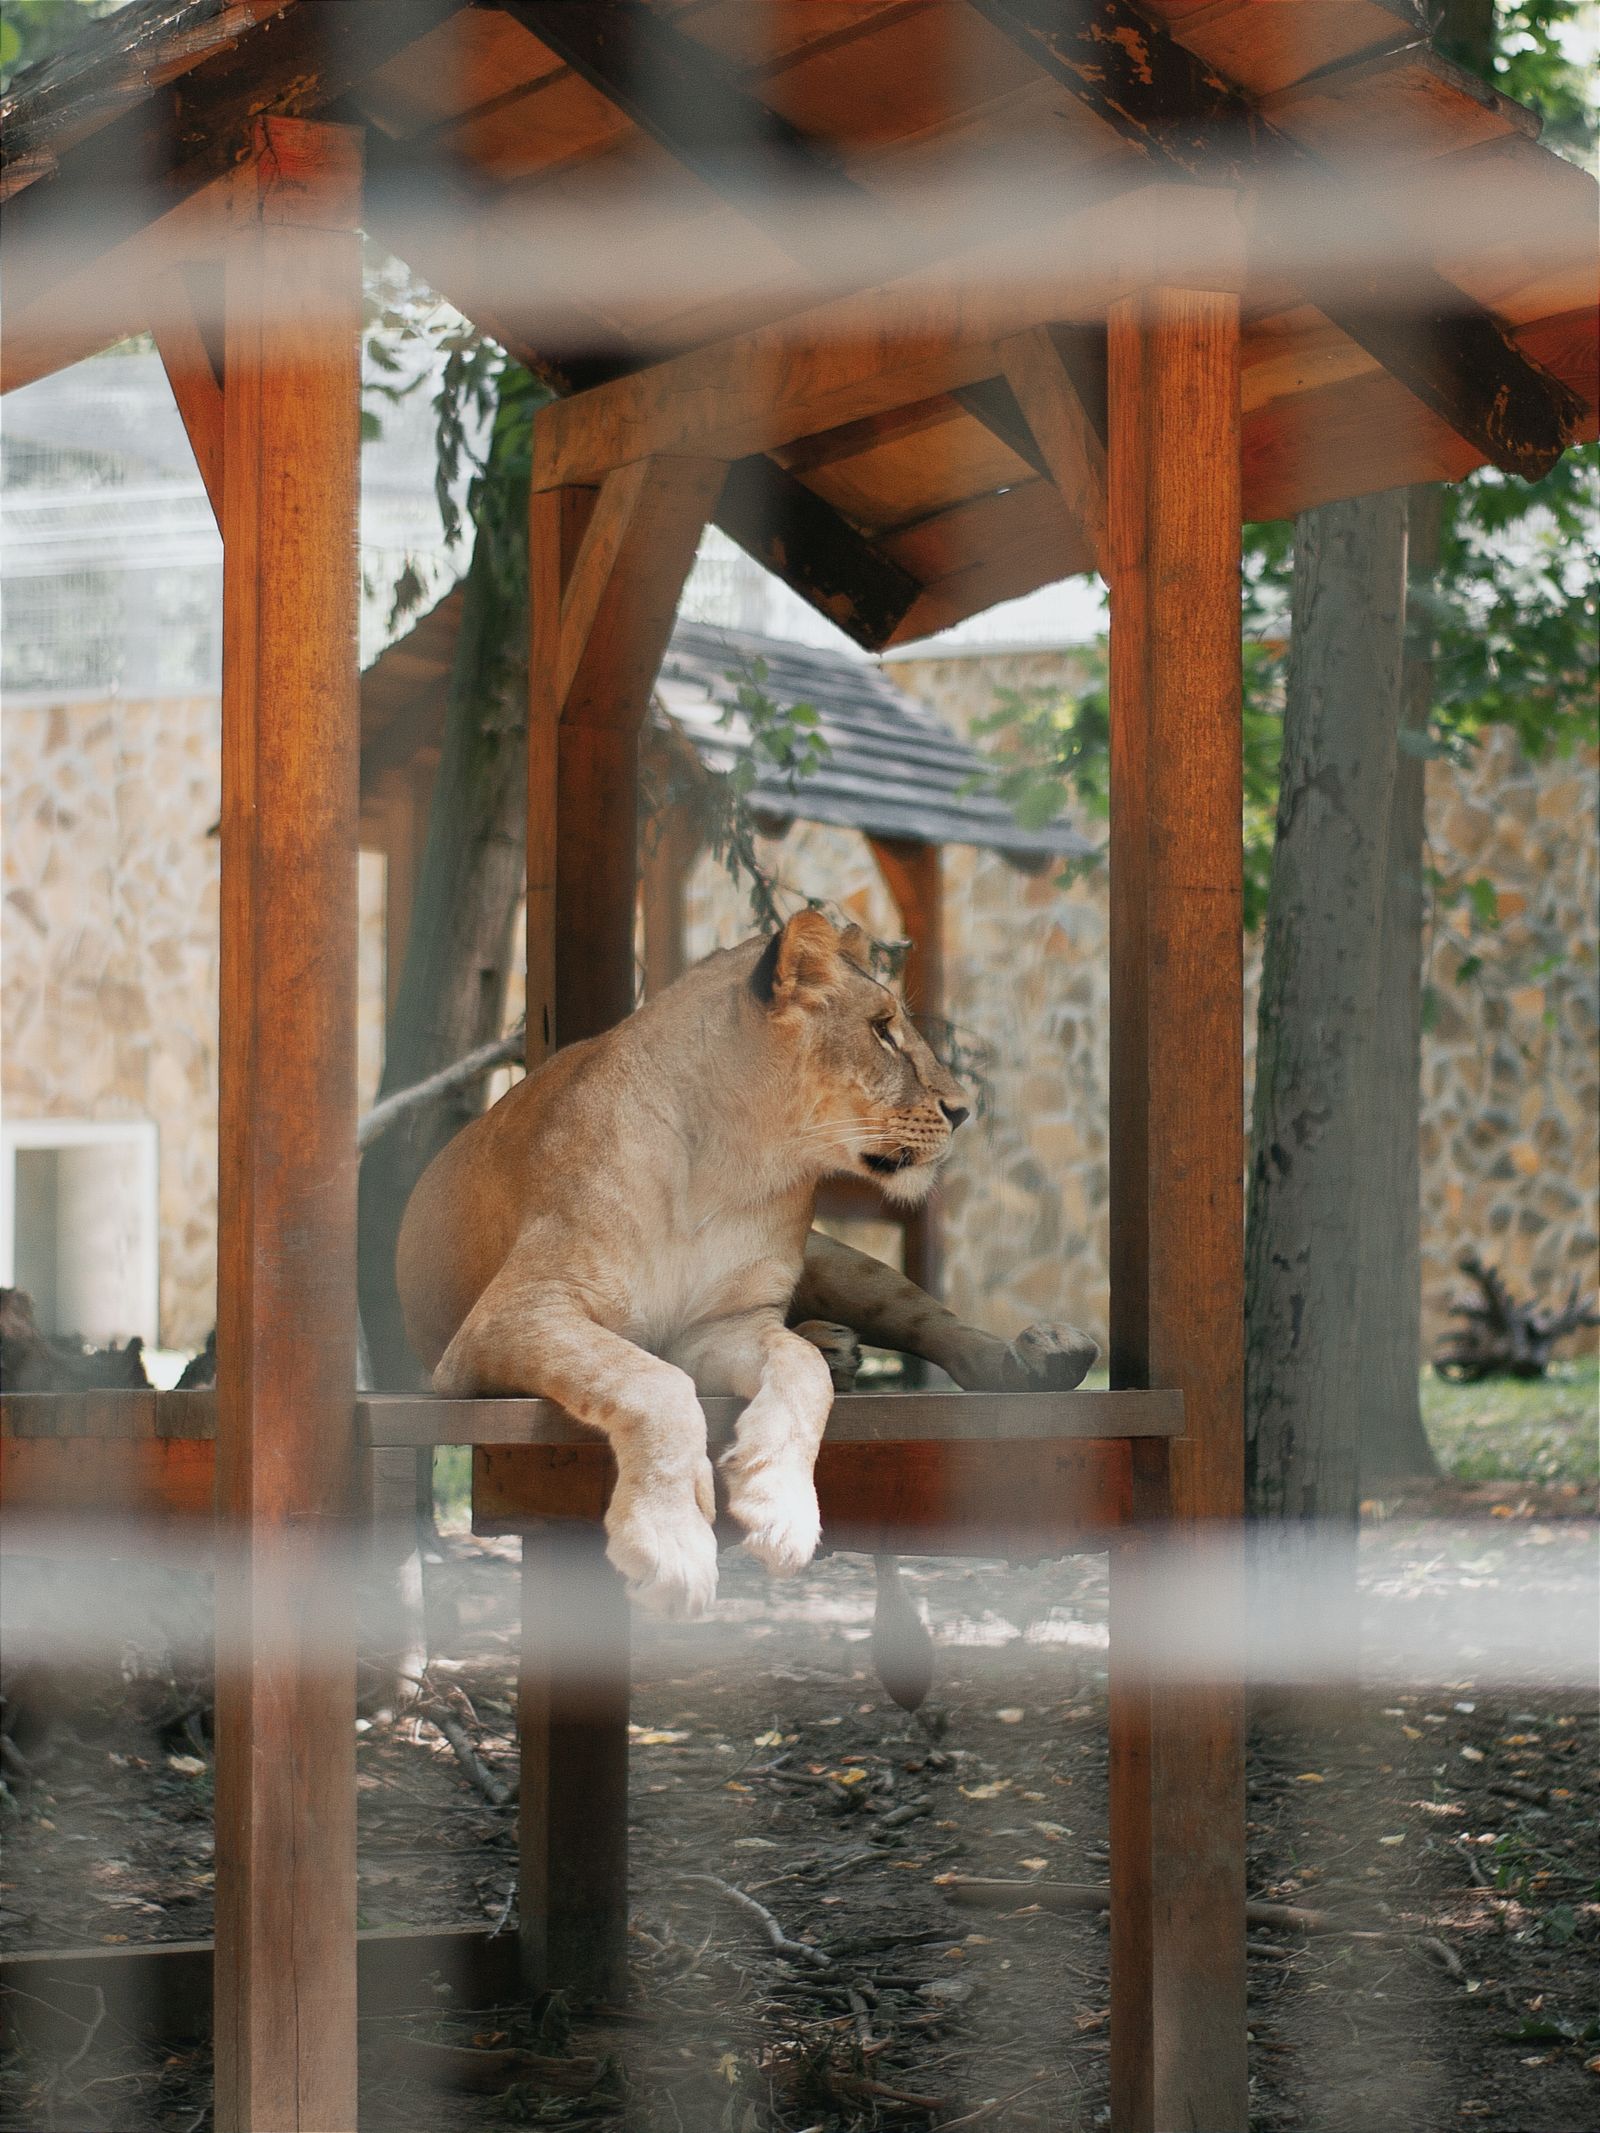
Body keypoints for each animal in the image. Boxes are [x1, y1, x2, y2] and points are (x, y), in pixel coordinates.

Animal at [398, 908, 1097, 1619]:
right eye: (881, 1029)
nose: (962, 1110)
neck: (731, 1163)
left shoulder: (724, 1322)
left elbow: (799, 1368)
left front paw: (779, 1506)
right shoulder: (512, 1315)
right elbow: (653, 1380)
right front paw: (670, 1541)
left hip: (837, 1262)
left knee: (934, 1323)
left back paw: (1040, 1356)